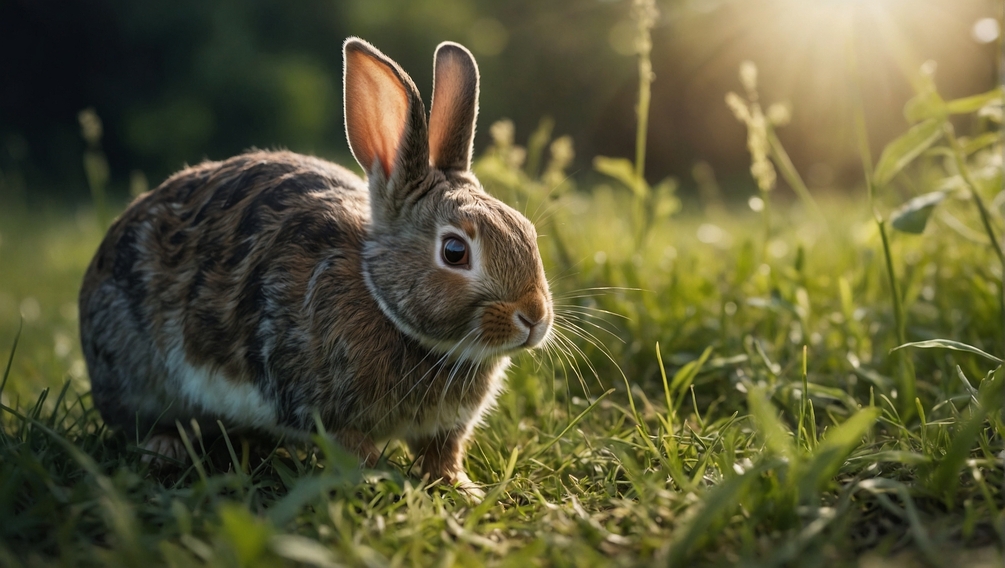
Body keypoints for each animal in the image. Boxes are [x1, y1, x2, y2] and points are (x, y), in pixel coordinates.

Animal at [78, 38, 553, 494]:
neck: (382, 301)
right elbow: (356, 449)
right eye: (455, 251)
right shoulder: (316, 404)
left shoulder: (444, 430)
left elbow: (443, 455)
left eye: (527, 231)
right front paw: (389, 482)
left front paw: (462, 489)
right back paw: (166, 448)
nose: (534, 318)